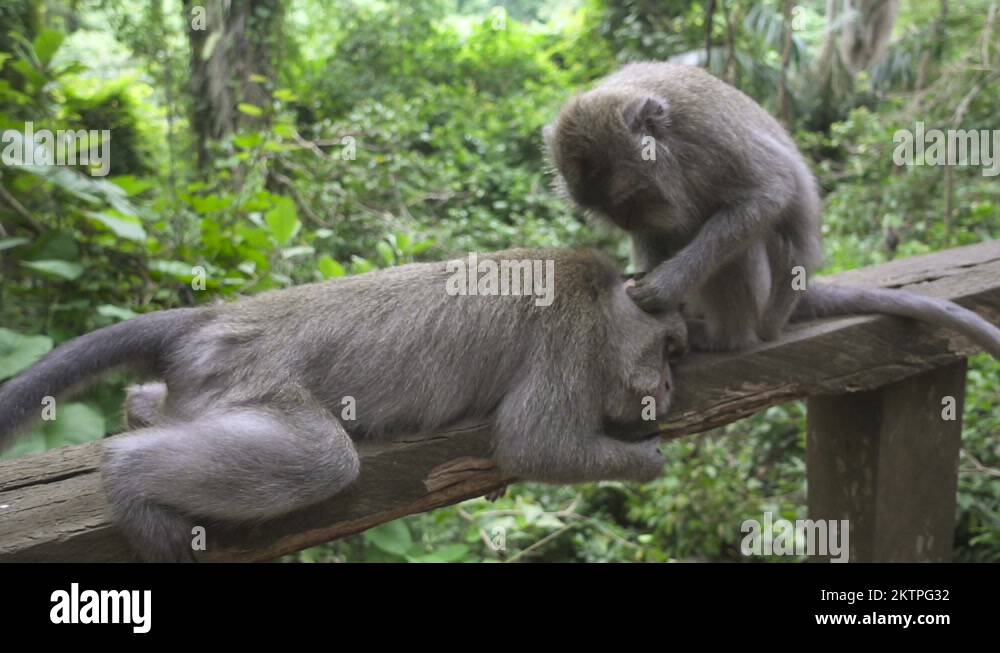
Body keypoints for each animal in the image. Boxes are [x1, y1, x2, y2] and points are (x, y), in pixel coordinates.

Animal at [0, 248, 687, 562]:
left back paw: (143, 413)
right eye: (667, 349)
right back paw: (129, 473)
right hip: (248, 375)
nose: (669, 386)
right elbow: (533, 441)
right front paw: (646, 462)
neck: (602, 303)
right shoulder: (570, 335)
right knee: (323, 460)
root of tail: (213, 320)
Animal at [543, 61, 1000, 359]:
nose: (624, 221)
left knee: (741, 249)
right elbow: (655, 235)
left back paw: (726, 338)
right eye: (608, 212)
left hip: (768, 305)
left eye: (628, 200)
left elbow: (770, 192)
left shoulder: (709, 141)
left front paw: (664, 287)